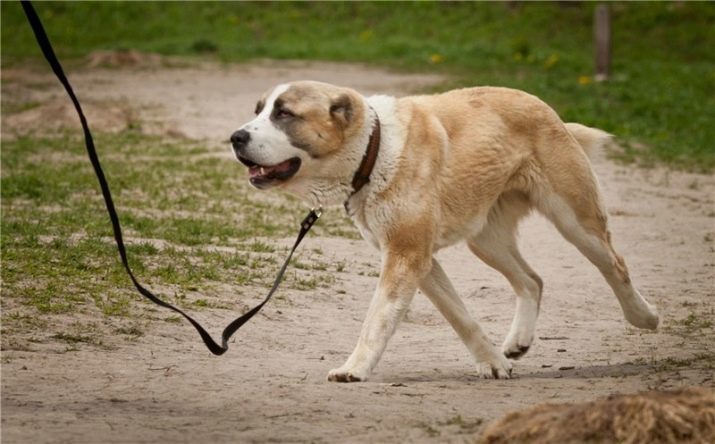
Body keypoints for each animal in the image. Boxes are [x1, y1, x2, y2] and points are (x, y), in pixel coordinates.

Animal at [229, 80, 660, 382]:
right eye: (259, 111)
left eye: (284, 114)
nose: (235, 137)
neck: (375, 149)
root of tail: (544, 108)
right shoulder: (420, 261)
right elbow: (460, 316)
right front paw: (493, 363)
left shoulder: (406, 258)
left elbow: (376, 320)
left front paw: (355, 368)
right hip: (485, 241)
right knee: (532, 280)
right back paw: (518, 342)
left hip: (575, 222)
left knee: (615, 265)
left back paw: (644, 317)